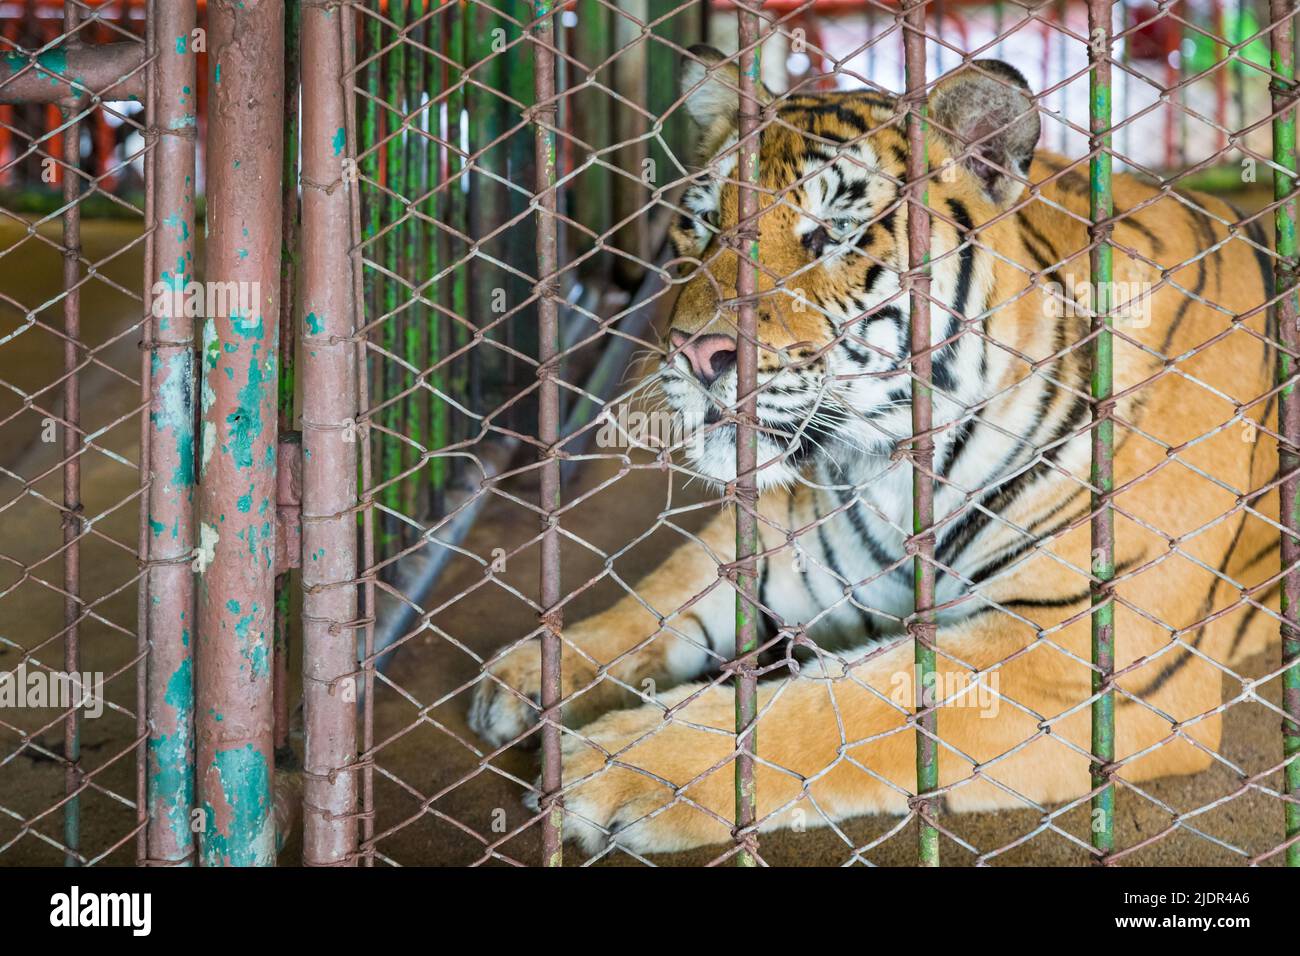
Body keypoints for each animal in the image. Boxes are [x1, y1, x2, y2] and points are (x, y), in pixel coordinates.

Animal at [466, 45, 1281, 856]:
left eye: (830, 235)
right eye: (702, 224)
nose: (698, 356)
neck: (898, 465)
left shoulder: (1079, 657)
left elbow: (835, 704)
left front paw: (613, 764)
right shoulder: (796, 543)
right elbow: (666, 594)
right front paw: (533, 673)